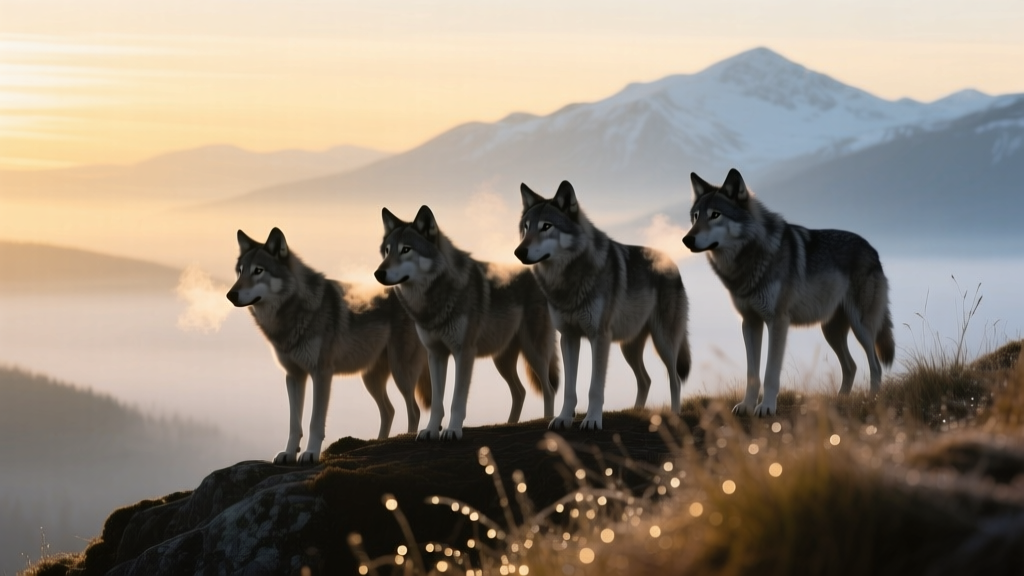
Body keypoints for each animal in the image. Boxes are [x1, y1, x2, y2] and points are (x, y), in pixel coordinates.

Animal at [226, 228, 430, 464]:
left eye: (258, 271)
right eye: (240, 272)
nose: (230, 294)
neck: (294, 313)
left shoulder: (321, 373)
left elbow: (315, 421)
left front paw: (311, 453)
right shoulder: (294, 375)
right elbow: (294, 423)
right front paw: (288, 453)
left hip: (401, 373)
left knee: (414, 410)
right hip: (370, 378)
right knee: (389, 411)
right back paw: (378, 443)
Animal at [374, 206, 560, 441]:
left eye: (406, 249)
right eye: (387, 251)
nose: (378, 273)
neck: (434, 301)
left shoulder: (463, 353)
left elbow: (456, 400)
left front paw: (453, 430)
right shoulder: (436, 354)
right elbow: (437, 403)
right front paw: (431, 430)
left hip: (533, 351)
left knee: (548, 389)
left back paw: (548, 420)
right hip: (502, 360)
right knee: (520, 392)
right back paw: (510, 423)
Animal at [515, 181, 691, 431]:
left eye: (546, 226)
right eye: (526, 227)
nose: (518, 251)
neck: (568, 282)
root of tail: (671, 263)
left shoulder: (599, 337)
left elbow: (595, 388)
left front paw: (592, 420)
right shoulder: (569, 337)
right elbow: (569, 389)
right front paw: (563, 418)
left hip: (663, 342)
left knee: (674, 379)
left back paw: (675, 414)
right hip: (629, 348)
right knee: (645, 380)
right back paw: (637, 411)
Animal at [683, 169, 895, 417]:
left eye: (715, 215)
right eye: (696, 216)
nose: (686, 239)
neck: (750, 259)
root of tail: (873, 250)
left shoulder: (777, 322)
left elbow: (770, 373)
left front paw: (766, 407)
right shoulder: (750, 322)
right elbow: (752, 374)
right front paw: (746, 405)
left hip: (861, 327)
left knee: (875, 365)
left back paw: (870, 401)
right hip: (830, 331)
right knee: (851, 366)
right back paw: (840, 400)